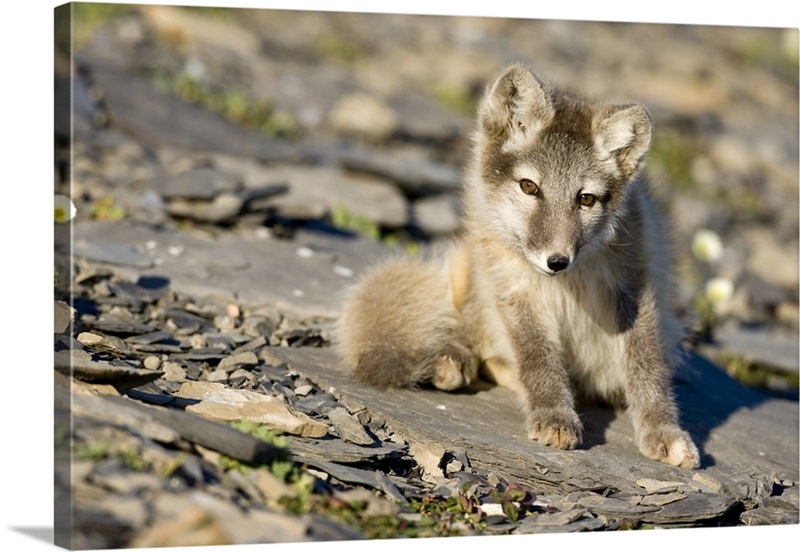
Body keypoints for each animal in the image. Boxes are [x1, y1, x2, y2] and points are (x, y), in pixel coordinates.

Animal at [337, 64, 700, 469]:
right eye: (529, 187)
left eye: (586, 199)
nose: (557, 261)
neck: (568, 282)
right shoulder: (514, 289)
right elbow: (537, 358)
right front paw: (554, 415)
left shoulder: (633, 289)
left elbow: (647, 368)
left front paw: (663, 432)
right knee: (473, 336)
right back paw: (453, 360)